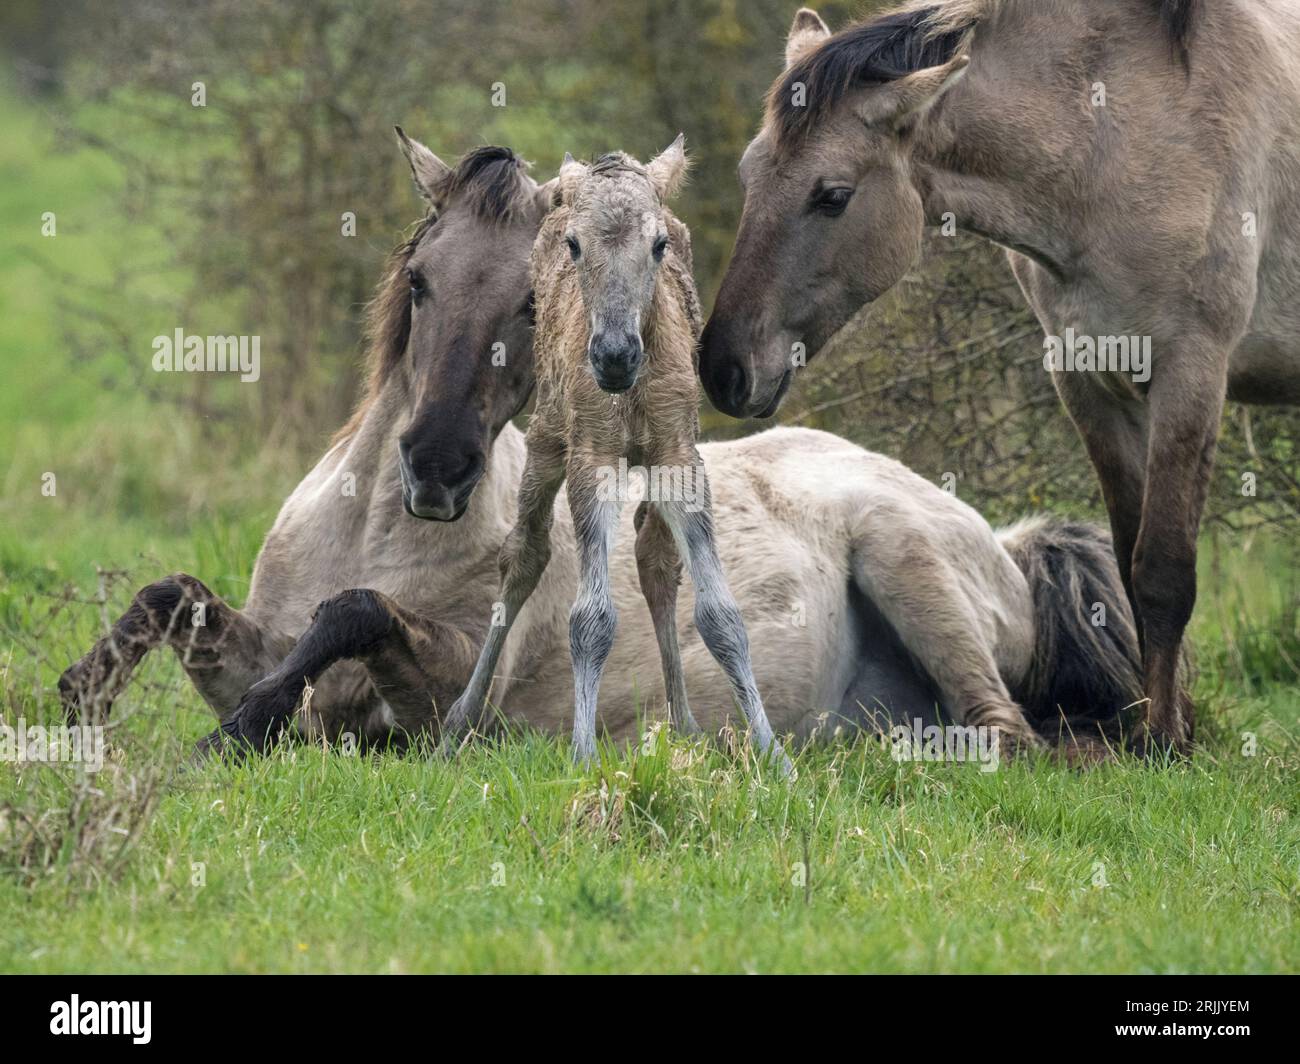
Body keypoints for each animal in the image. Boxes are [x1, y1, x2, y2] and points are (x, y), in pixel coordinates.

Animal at [59, 128, 1142, 760]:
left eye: (529, 301)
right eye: (420, 280)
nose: (436, 468)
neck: (376, 528)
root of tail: (1005, 541)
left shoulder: (429, 690)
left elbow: (355, 611)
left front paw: (243, 732)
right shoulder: (252, 643)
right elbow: (172, 596)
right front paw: (77, 701)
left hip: (902, 555)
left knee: (1009, 735)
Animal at [698, 0, 1300, 754]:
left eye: (832, 195)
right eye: (750, 176)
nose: (722, 368)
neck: (1127, 137)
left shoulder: (1190, 373)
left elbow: (1163, 572)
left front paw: (1165, 742)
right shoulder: (1090, 382)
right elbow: (1129, 567)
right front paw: (1158, 725)